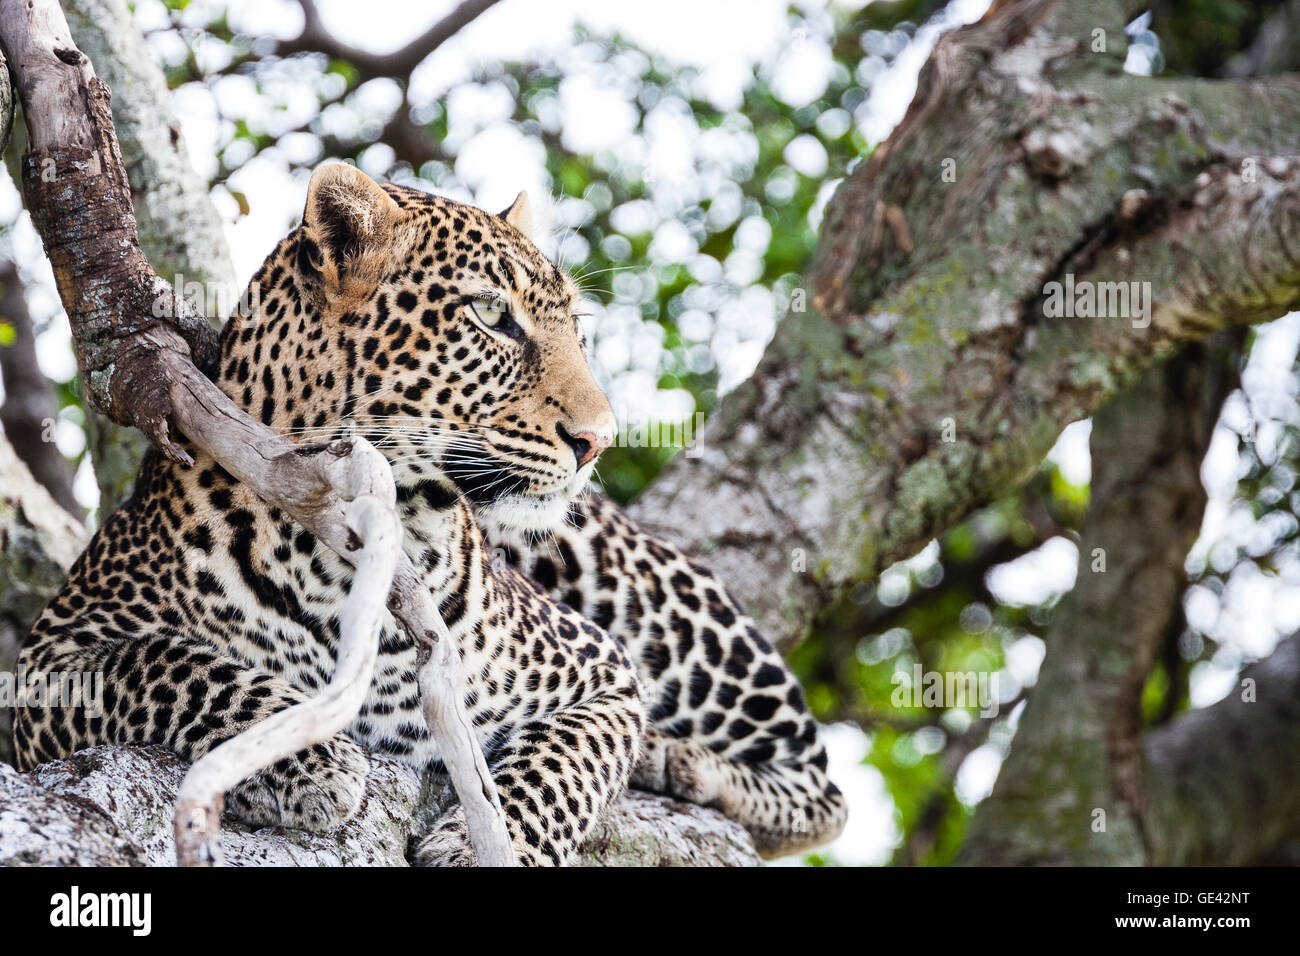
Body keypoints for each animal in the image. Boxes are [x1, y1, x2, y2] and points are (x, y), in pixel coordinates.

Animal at [13, 162, 846, 864]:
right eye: (490, 315)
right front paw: (306, 758)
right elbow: (169, 664)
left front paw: (489, 843)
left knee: (822, 787)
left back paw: (680, 761)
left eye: (575, 328)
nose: (600, 439)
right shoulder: (45, 670)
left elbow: (567, 765)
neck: (349, 556)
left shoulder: (601, 670)